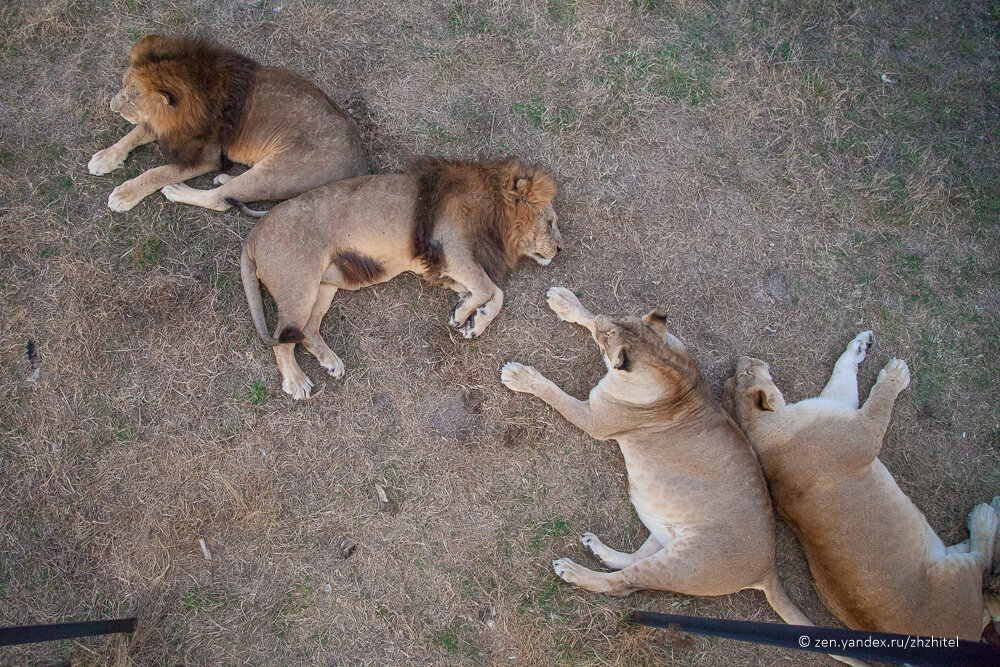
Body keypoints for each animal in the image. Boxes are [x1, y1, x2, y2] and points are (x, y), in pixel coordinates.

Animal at [87, 34, 368, 214]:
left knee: (220, 201)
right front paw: (105, 158)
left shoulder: (206, 156)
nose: (111, 107)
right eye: (123, 87)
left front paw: (125, 194)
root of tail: (360, 165)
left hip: (277, 173)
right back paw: (223, 178)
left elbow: (158, 172)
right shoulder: (167, 124)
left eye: (130, 98)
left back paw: (177, 191)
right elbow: (134, 134)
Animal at [239, 157, 560, 400]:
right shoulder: (450, 247)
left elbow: (494, 292)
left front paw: (473, 321)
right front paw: (461, 316)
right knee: (282, 339)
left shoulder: (440, 265)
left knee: (307, 330)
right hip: (299, 288)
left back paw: (331, 363)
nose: (560, 249)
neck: (496, 210)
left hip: (324, 286)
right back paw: (296, 382)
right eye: (550, 222)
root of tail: (251, 238)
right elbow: (485, 287)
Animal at [504, 290, 864, 667]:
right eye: (616, 319)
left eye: (606, 338)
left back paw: (574, 571)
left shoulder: (596, 420)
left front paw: (520, 375)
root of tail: (769, 570)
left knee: (623, 585)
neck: (669, 369)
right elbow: (589, 316)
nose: (605, 324)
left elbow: (555, 393)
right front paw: (566, 301)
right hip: (662, 528)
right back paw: (598, 549)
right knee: (632, 560)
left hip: (683, 564)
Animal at [728, 332, 1000, 640]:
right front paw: (896, 372)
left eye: (741, 373)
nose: (744, 358)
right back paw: (986, 516)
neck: (762, 434)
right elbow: (880, 400)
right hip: (957, 580)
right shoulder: (864, 432)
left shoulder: (835, 406)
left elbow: (842, 372)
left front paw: (860, 345)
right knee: (980, 561)